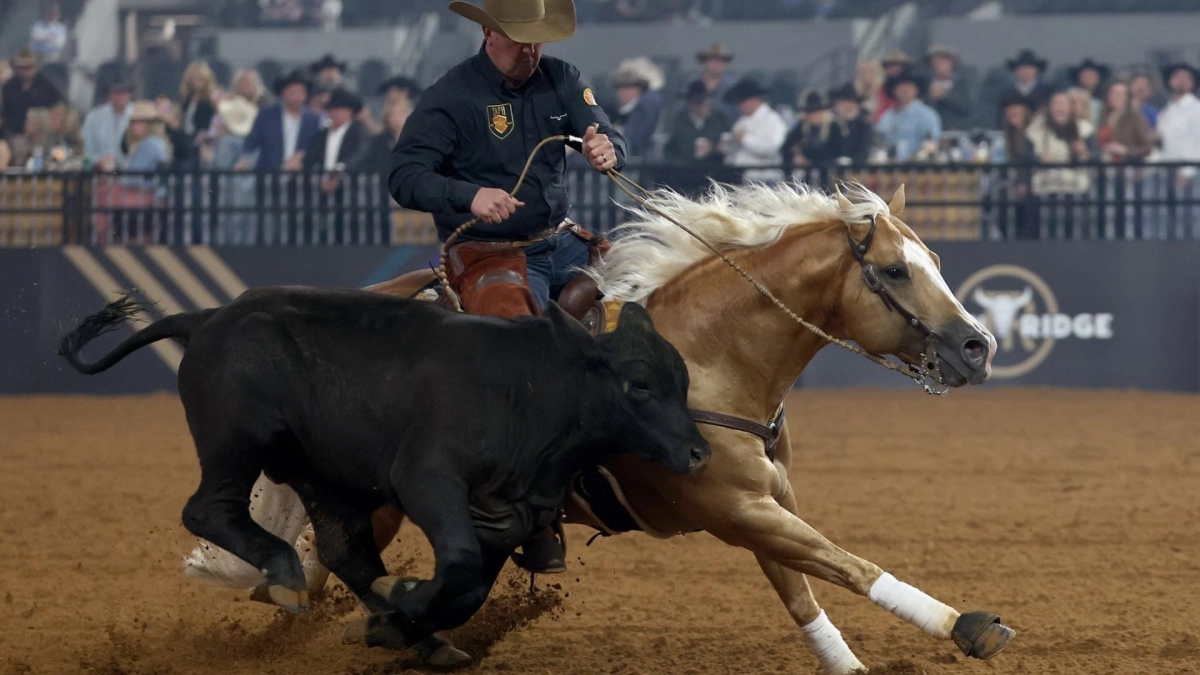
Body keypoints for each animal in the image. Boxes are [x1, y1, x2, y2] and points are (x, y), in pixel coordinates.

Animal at [59, 288, 710, 663]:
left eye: (681, 381)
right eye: (639, 385)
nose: (700, 452)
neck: (528, 389)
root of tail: (209, 318)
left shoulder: (506, 516)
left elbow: (466, 588)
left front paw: (397, 624)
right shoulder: (428, 481)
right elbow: (459, 567)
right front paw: (402, 604)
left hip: (322, 474)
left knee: (345, 549)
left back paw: (406, 625)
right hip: (237, 442)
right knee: (210, 510)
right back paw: (287, 576)